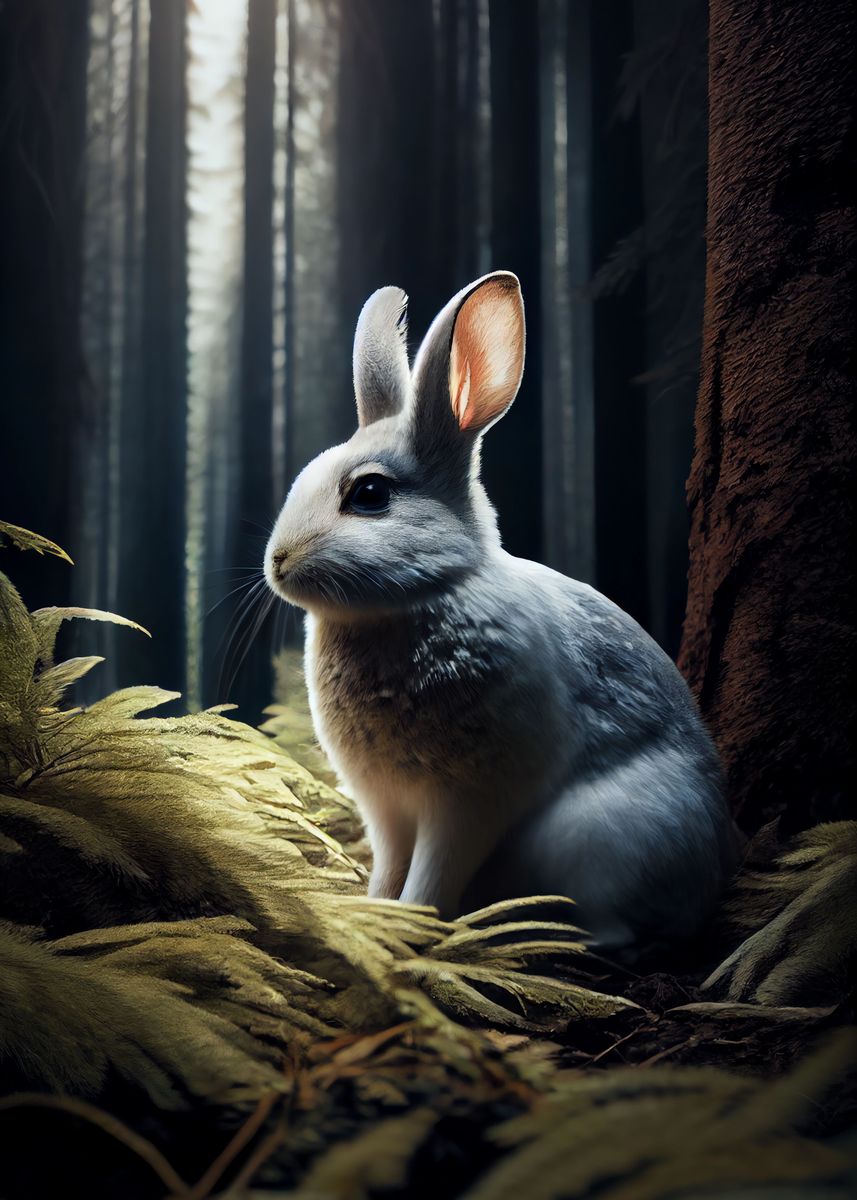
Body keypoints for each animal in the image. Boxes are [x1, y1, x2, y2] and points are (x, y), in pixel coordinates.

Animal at [264, 270, 738, 956]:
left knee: (619, 928)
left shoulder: (467, 798)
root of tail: (715, 873)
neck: (421, 596)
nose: (277, 561)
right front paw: (373, 912)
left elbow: (434, 870)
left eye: (370, 494)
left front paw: (414, 928)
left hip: (594, 839)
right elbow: (389, 861)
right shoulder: (385, 804)